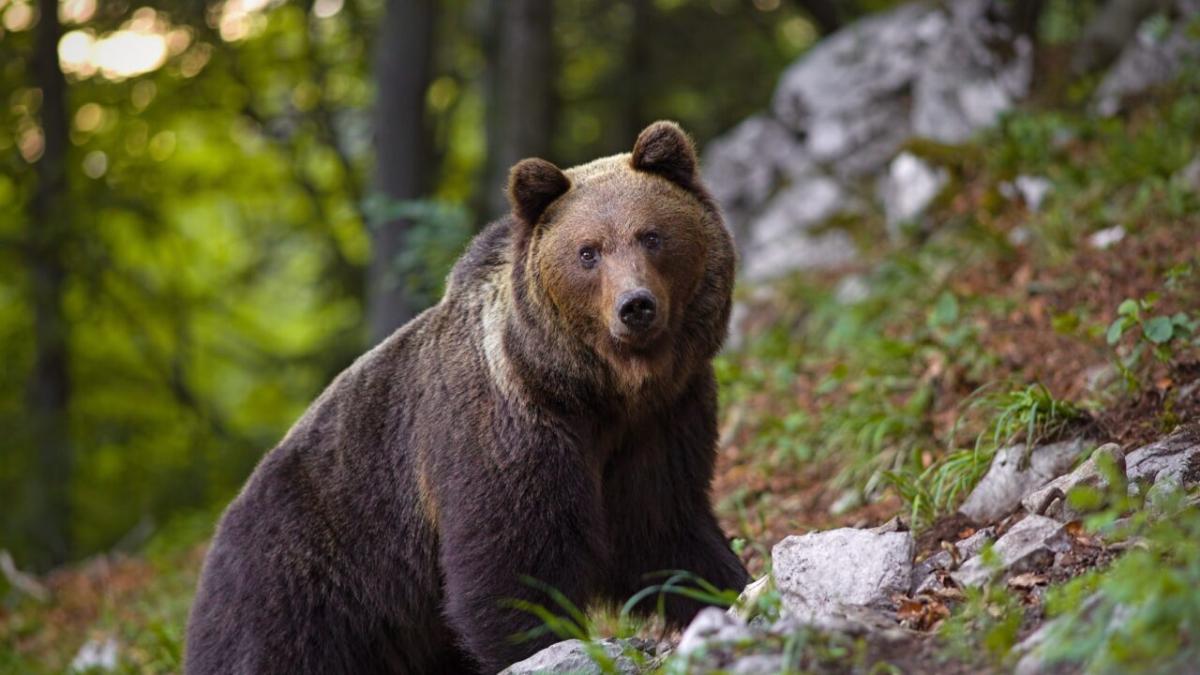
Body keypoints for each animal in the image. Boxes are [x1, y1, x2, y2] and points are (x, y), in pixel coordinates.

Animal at [184, 121, 749, 674]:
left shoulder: (663, 422)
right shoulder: (507, 431)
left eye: (651, 236)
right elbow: (513, 567)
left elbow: (664, 530)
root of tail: (216, 536)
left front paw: (729, 589)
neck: (596, 392)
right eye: (588, 251)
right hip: (301, 583)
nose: (635, 306)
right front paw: (545, 647)